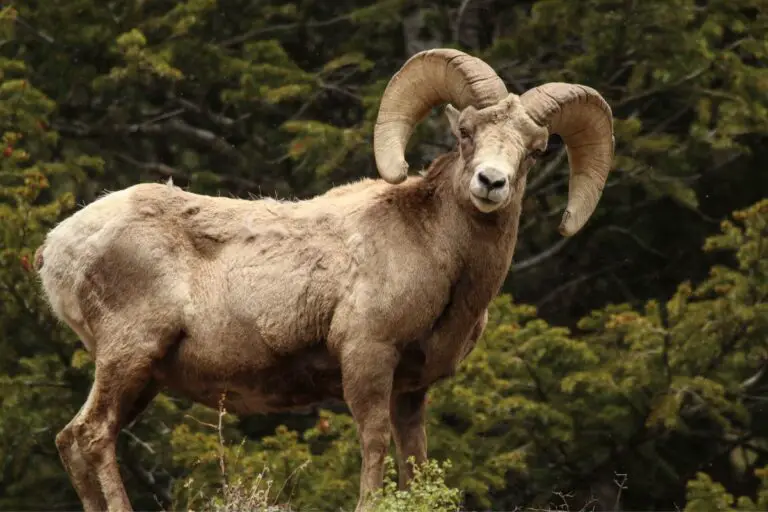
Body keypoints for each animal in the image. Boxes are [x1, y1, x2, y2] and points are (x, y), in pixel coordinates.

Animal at [35, 48, 614, 512]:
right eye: (466, 133)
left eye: (535, 149)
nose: (491, 183)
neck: (434, 253)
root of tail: (57, 247)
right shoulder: (367, 358)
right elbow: (374, 446)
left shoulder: (412, 391)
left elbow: (415, 461)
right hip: (129, 356)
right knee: (91, 436)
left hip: (143, 376)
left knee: (72, 440)